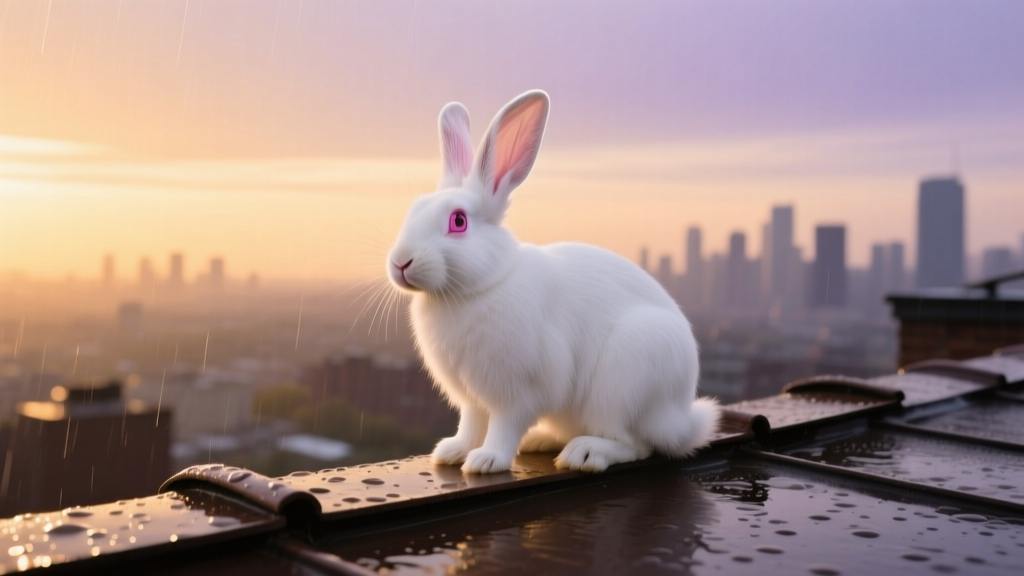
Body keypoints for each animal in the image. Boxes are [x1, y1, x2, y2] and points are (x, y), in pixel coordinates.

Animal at [386, 90, 720, 473]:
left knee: (636, 444)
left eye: (458, 221)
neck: (483, 286)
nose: (400, 262)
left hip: (623, 383)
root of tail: (681, 421)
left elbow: (504, 425)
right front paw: (452, 452)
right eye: (414, 209)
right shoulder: (472, 398)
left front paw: (486, 460)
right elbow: (471, 424)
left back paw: (585, 453)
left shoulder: (517, 391)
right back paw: (539, 440)